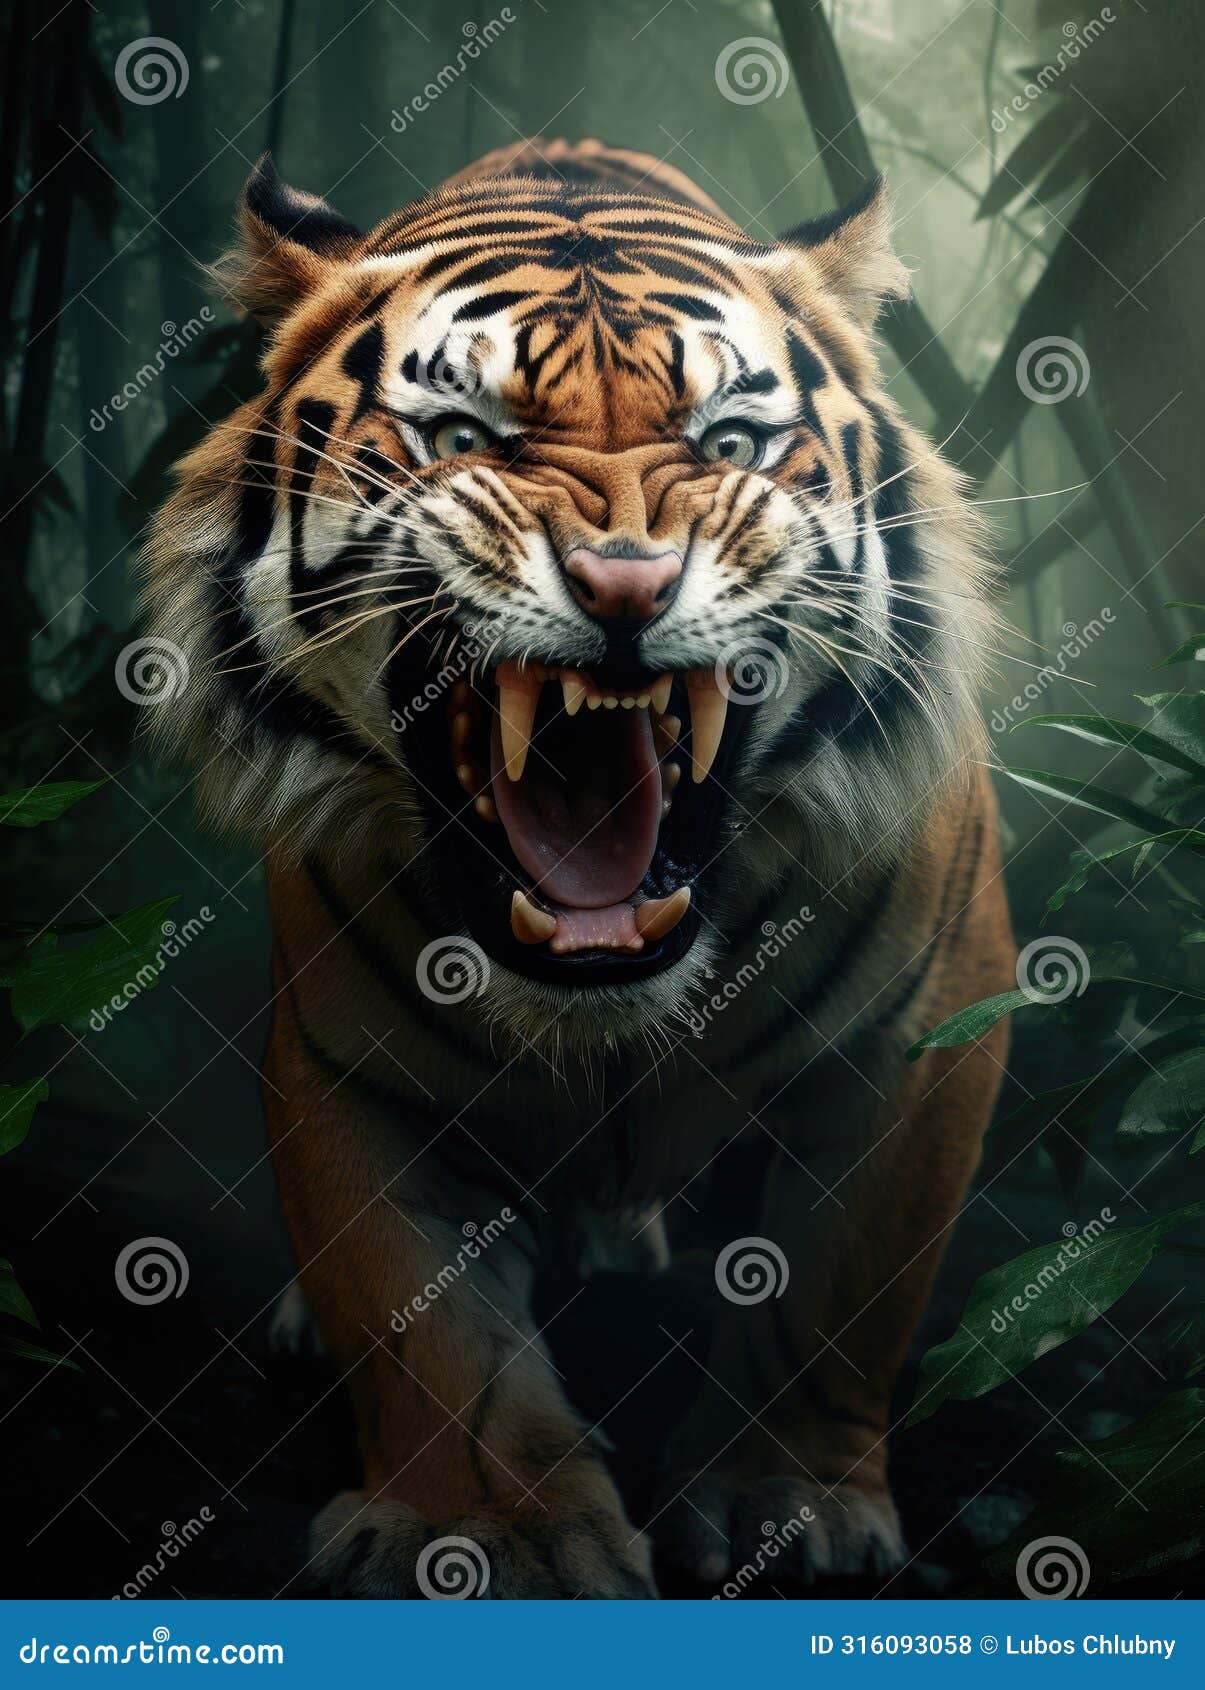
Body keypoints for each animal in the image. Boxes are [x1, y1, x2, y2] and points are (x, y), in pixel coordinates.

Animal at [142, 136, 1014, 1598]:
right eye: (460, 440)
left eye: (727, 446)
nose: (624, 585)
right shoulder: (348, 1072)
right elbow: (421, 1329)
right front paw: (489, 1536)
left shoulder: (921, 1036)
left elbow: (839, 1292)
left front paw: (788, 1506)